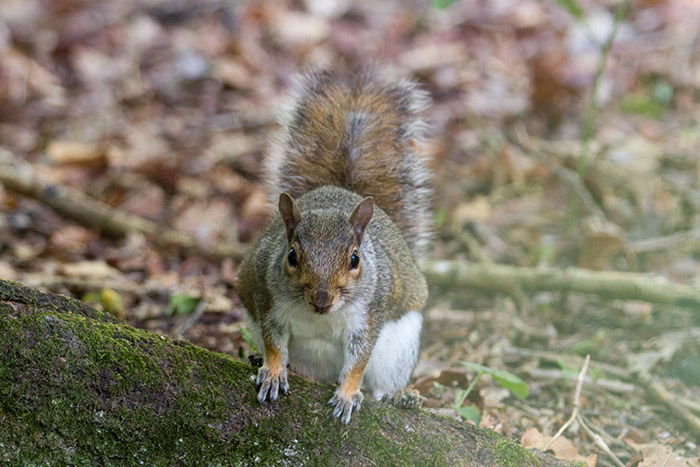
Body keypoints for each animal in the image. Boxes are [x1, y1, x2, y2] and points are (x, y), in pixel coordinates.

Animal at [237, 69, 432, 424]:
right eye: (292, 256)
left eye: (355, 259)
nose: (322, 299)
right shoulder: (266, 300)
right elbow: (274, 344)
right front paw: (272, 371)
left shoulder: (369, 316)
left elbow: (358, 359)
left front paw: (347, 393)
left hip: (398, 348)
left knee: (382, 384)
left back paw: (401, 397)